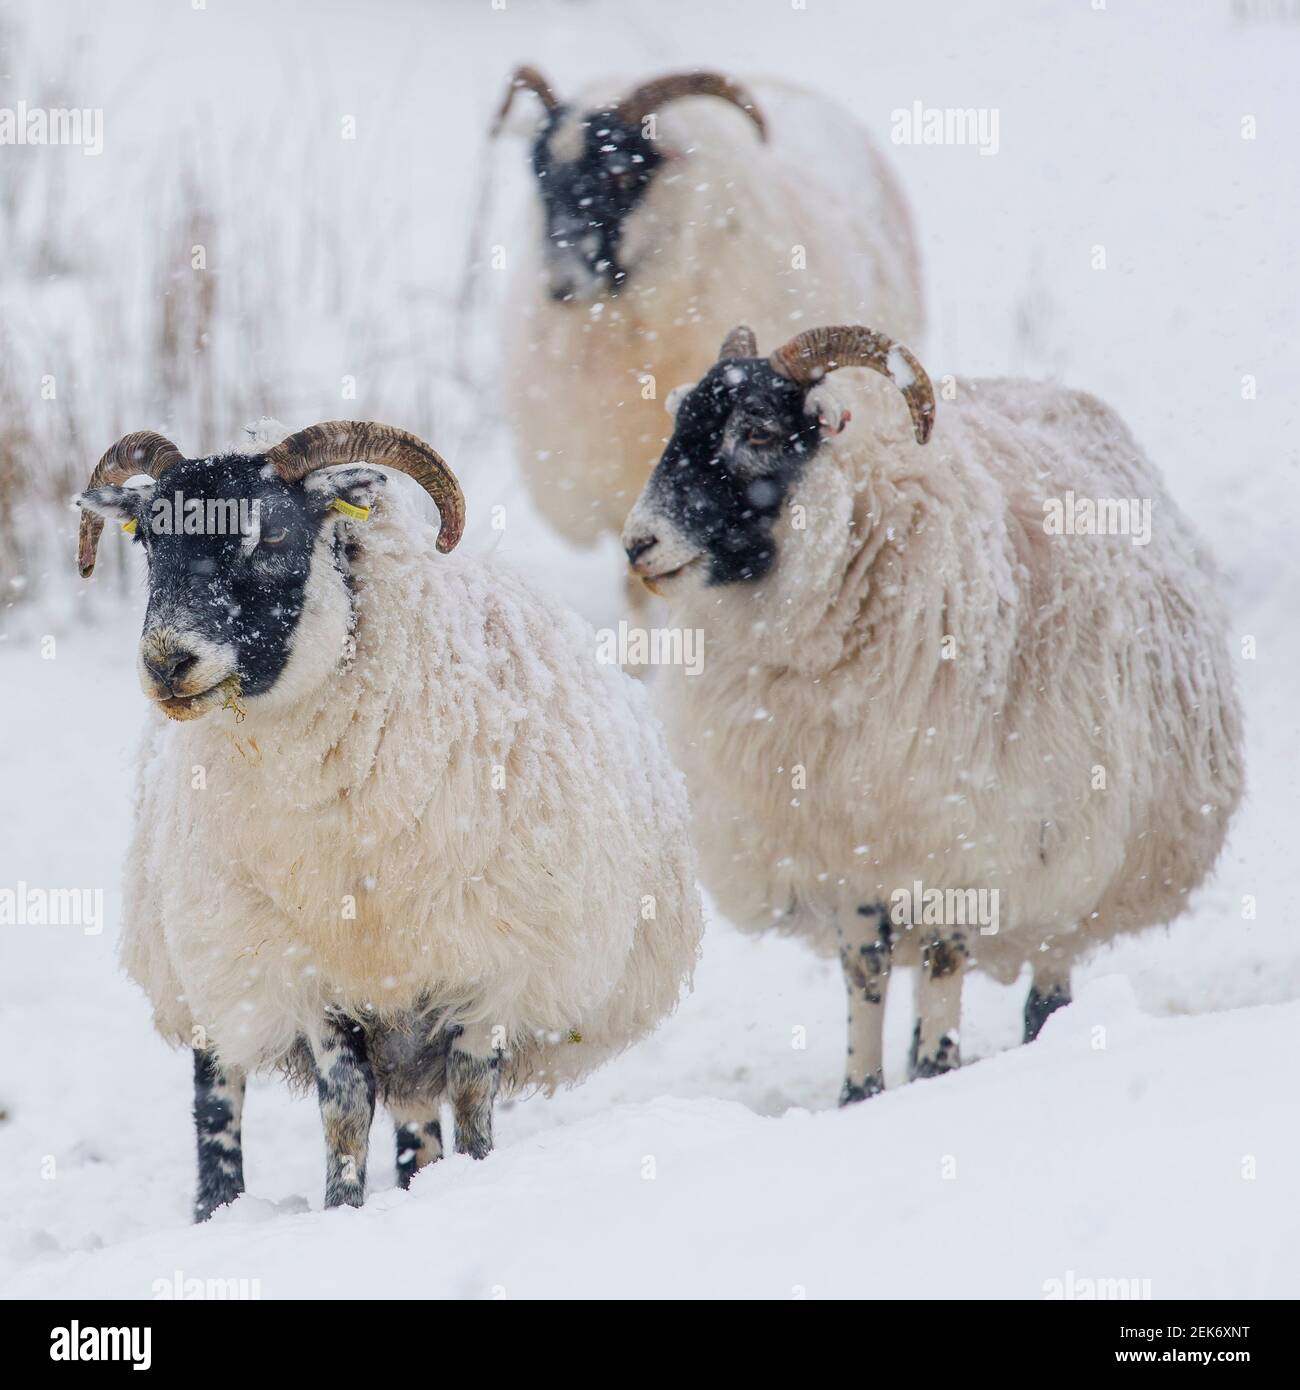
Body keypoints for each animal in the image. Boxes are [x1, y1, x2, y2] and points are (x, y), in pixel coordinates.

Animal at [74, 419, 702, 1217]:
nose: (166, 662)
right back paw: (219, 1209)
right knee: (218, 1094)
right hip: (209, 959)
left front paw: (476, 1173)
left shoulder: (492, 968)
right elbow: (343, 1110)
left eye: (270, 535)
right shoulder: (310, 976)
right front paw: (342, 1206)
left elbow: (471, 1101)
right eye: (149, 539)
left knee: (416, 1115)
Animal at [622, 323, 1243, 1104]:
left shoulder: (964, 846)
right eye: (678, 418)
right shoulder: (845, 851)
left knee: (1049, 968)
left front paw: (937, 1071)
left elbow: (946, 962)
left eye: (756, 430)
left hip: (1078, 851)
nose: (637, 543)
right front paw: (861, 1092)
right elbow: (865, 971)